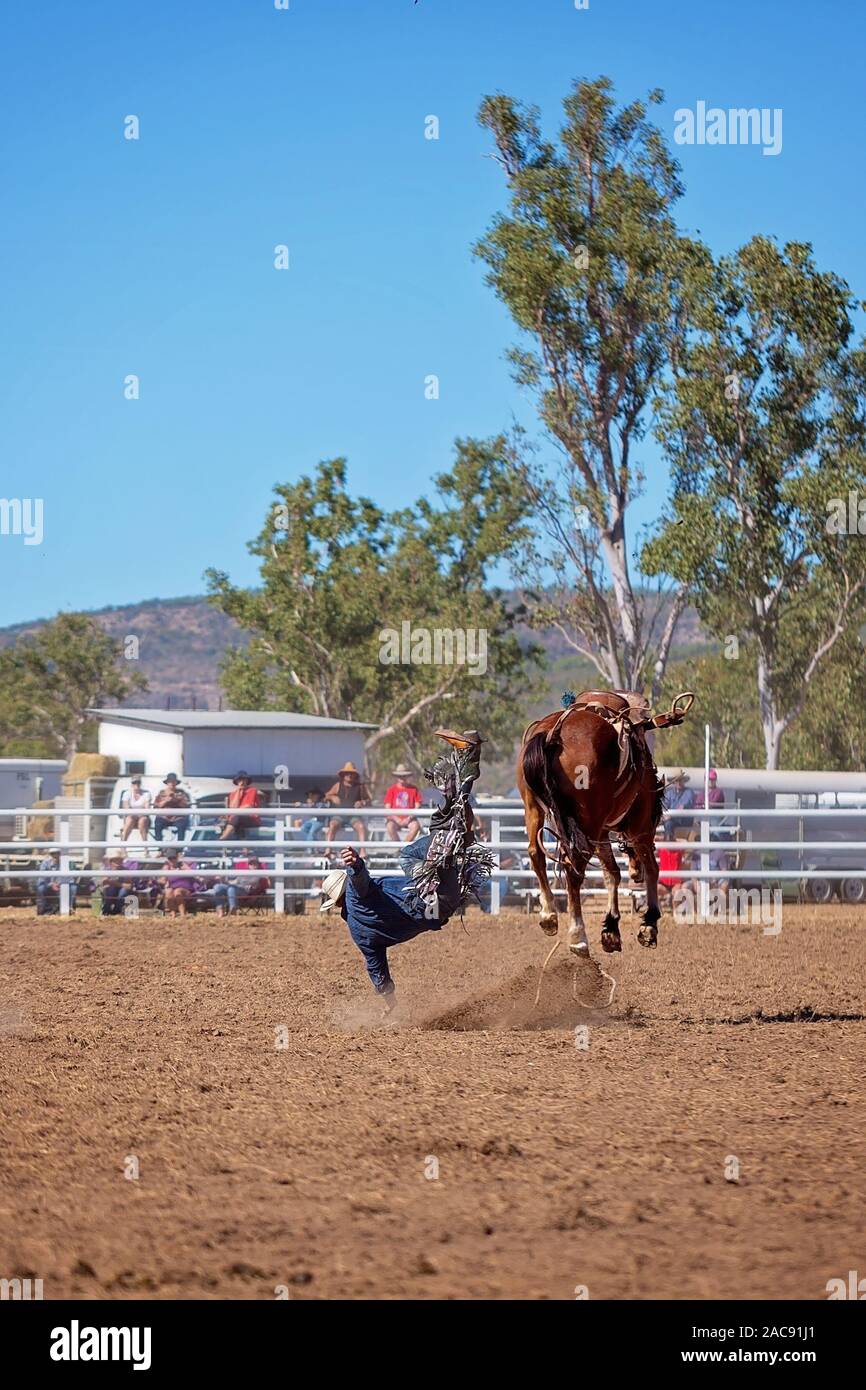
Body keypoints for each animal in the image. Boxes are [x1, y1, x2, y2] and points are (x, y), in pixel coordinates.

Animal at [517, 690, 694, 956]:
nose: (636, 873)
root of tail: (552, 735)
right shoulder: (640, 826)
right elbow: (652, 868)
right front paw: (649, 924)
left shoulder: (601, 832)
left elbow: (612, 873)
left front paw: (611, 929)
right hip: (591, 822)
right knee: (574, 868)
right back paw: (578, 937)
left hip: (534, 809)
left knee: (535, 853)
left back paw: (549, 916)